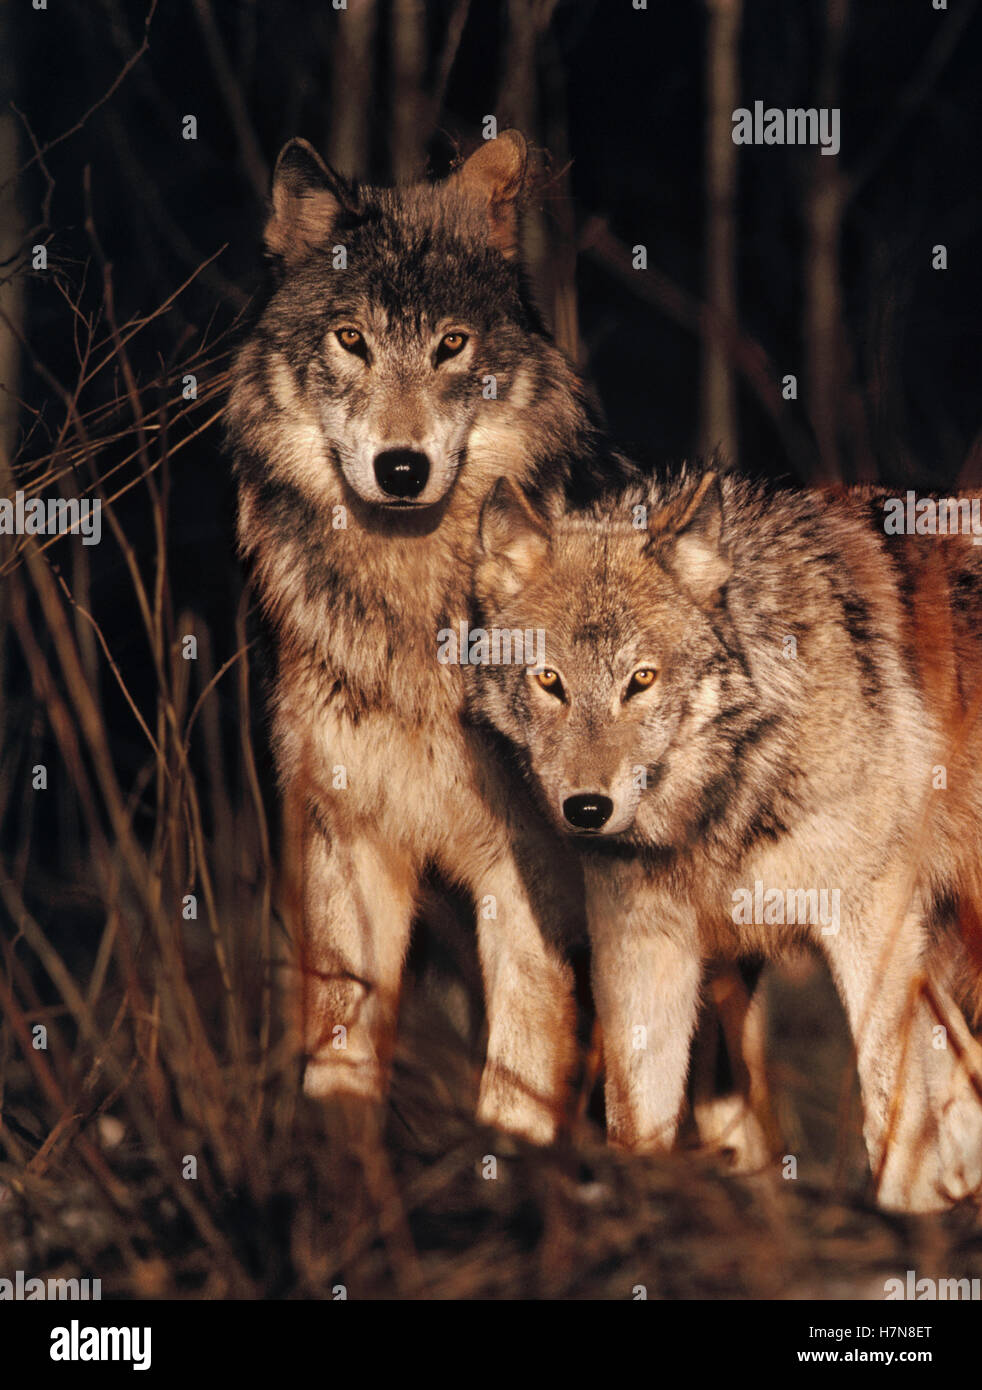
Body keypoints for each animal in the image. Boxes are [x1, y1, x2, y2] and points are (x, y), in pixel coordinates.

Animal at [227, 130, 634, 1142]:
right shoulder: (347, 837)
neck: (413, 615)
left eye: (452, 344)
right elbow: (339, 1048)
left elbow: (519, 1072)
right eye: (352, 340)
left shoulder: (526, 869)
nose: (401, 467)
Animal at [470, 465, 982, 1209]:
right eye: (549, 681)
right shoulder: (645, 942)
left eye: (641, 680)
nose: (587, 808)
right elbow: (636, 1116)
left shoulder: (872, 924)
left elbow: (892, 1108)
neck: (722, 800)